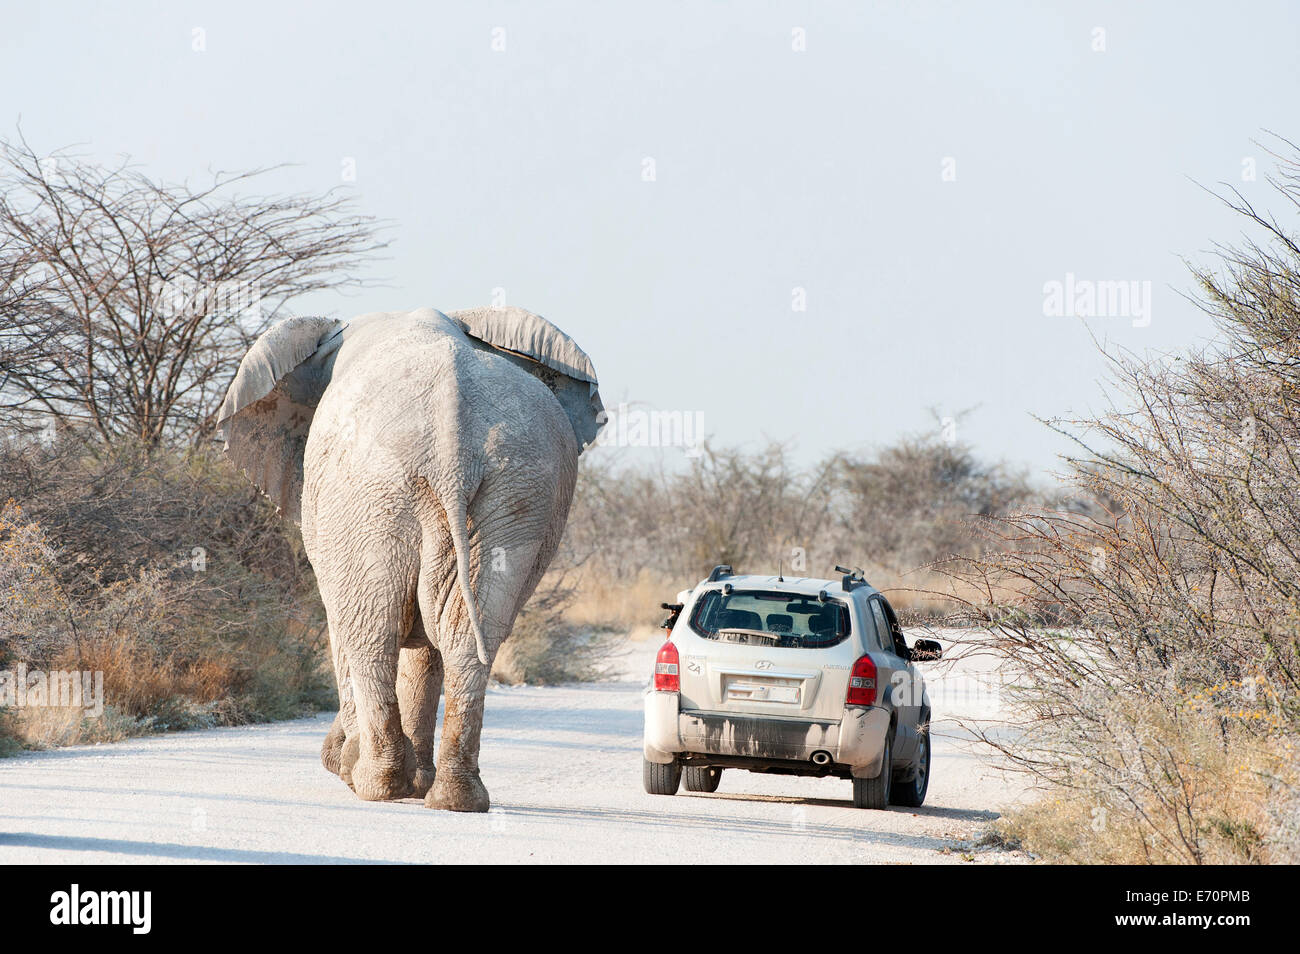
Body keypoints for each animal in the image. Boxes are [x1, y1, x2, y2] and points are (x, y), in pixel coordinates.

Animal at [216, 306, 603, 811]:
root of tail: (452, 434)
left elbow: (347, 627)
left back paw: (373, 784)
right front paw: (412, 779)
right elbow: (426, 645)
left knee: (369, 632)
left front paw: (346, 765)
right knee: (463, 632)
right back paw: (454, 798)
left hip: (367, 491)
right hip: (519, 490)